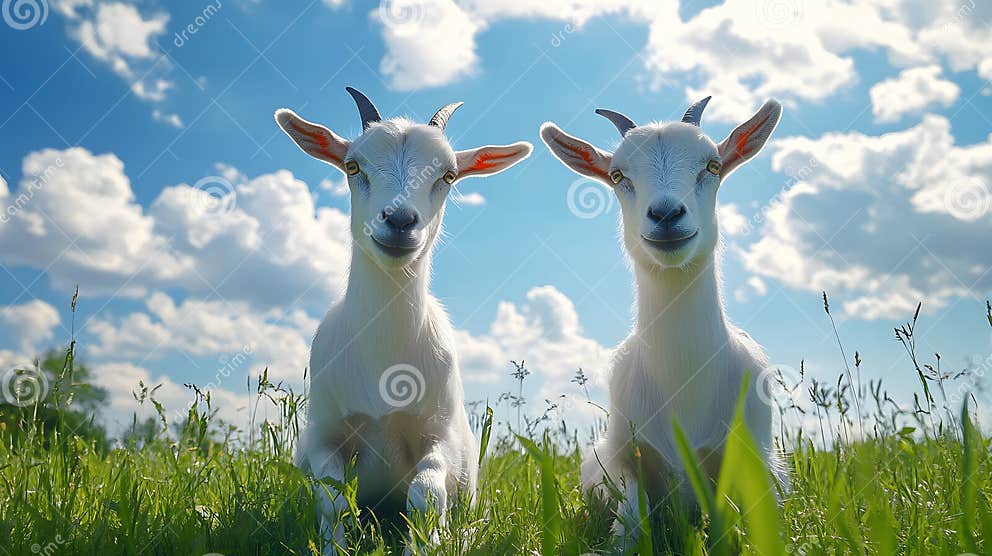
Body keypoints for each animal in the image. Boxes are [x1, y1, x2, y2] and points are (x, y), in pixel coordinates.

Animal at [276, 87, 532, 553]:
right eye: (352, 165)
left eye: (448, 175)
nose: (398, 221)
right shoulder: (324, 434)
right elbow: (332, 498)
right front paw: (334, 545)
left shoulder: (438, 434)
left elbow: (426, 492)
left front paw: (428, 541)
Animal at [541, 97, 783, 542]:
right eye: (618, 175)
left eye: (713, 165)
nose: (666, 215)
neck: (684, 380)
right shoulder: (619, 459)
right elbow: (632, 518)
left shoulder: (757, 460)